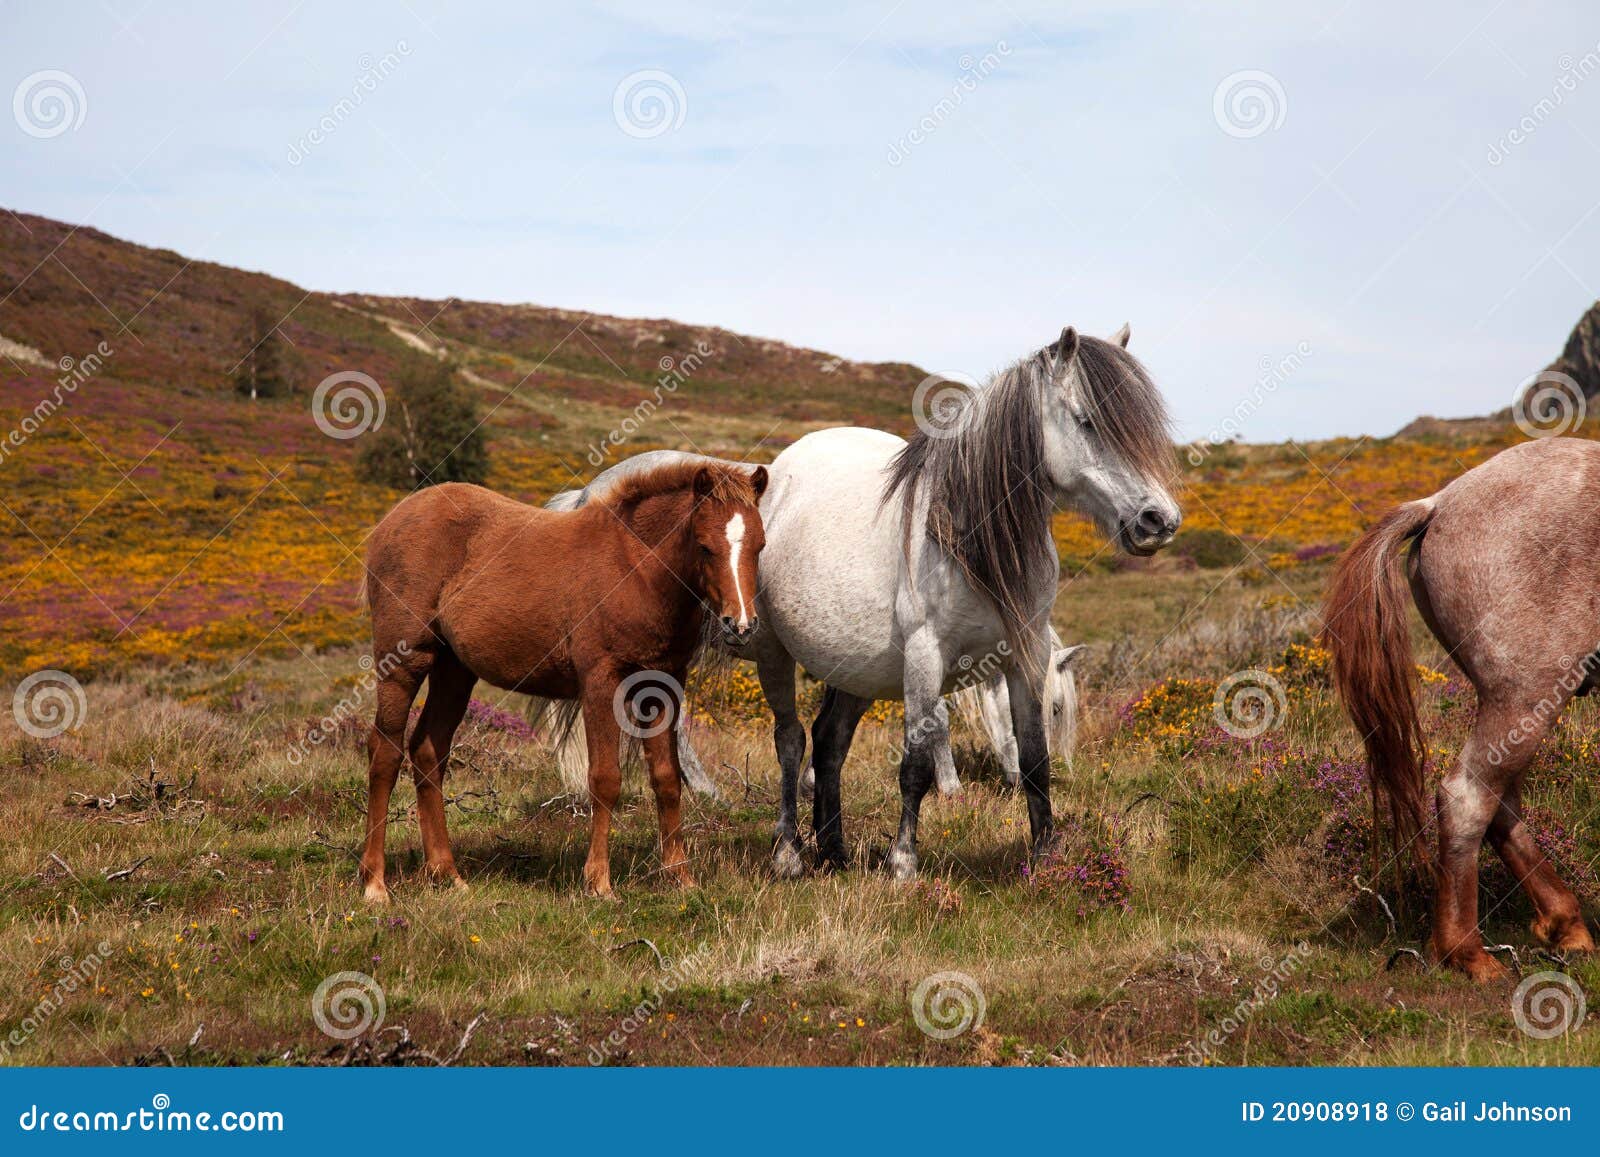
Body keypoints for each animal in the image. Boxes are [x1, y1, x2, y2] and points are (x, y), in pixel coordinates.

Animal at [356, 460, 767, 901]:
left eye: (759, 546)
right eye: (705, 546)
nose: (741, 624)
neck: (634, 570)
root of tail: (390, 522)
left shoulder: (663, 685)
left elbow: (667, 778)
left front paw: (680, 877)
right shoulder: (601, 683)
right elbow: (605, 779)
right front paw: (599, 882)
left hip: (454, 671)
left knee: (428, 751)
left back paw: (446, 873)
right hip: (404, 662)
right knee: (385, 753)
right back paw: (375, 883)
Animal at [752, 324, 1180, 878]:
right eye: (1086, 420)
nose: (1159, 521)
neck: (966, 538)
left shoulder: (1026, 655)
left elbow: (1035, 759)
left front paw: (1046, 858)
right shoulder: (924, 659)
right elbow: (915, 765)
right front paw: (903, 863)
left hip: (855, 669)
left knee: (829, 743)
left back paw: (835, 854)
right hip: (773, 652)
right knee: (791, 740)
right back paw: (789, 854)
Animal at [1324, 435, 1598, 980]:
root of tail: (1440, 504)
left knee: (1499, 804)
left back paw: (1564, 924)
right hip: (1527, 695)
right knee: (1468, 798)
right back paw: (1468, 953)